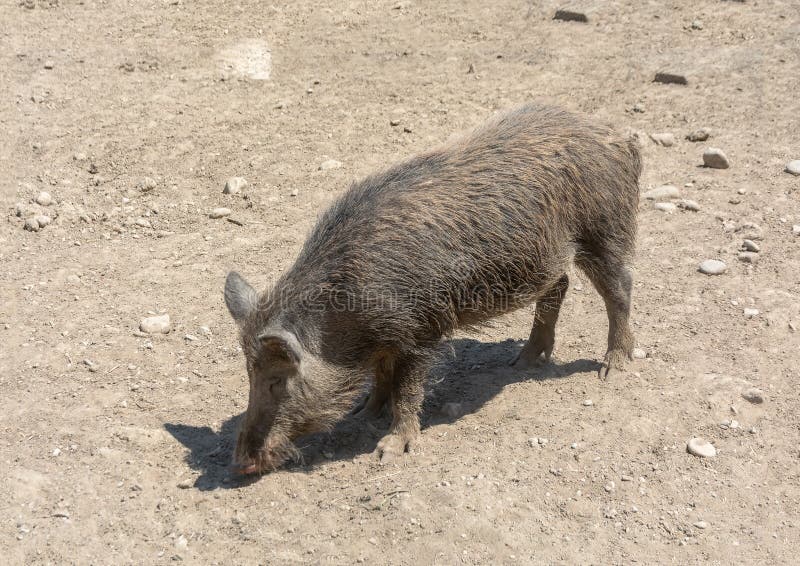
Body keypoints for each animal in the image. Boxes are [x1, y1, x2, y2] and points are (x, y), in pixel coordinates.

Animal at [224, 103, 641, 473]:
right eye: (249, 375)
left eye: (278, 380)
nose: (240, 463)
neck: (342, 317)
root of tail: (616, 133)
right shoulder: (386, 338)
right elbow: (381, 376)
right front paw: (364, 413)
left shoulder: (421, 331)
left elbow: (407, 388)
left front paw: (389, 450)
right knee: (560, 285)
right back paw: (521, 362)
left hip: (603, 228)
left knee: (619, 288)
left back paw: (612, 368)